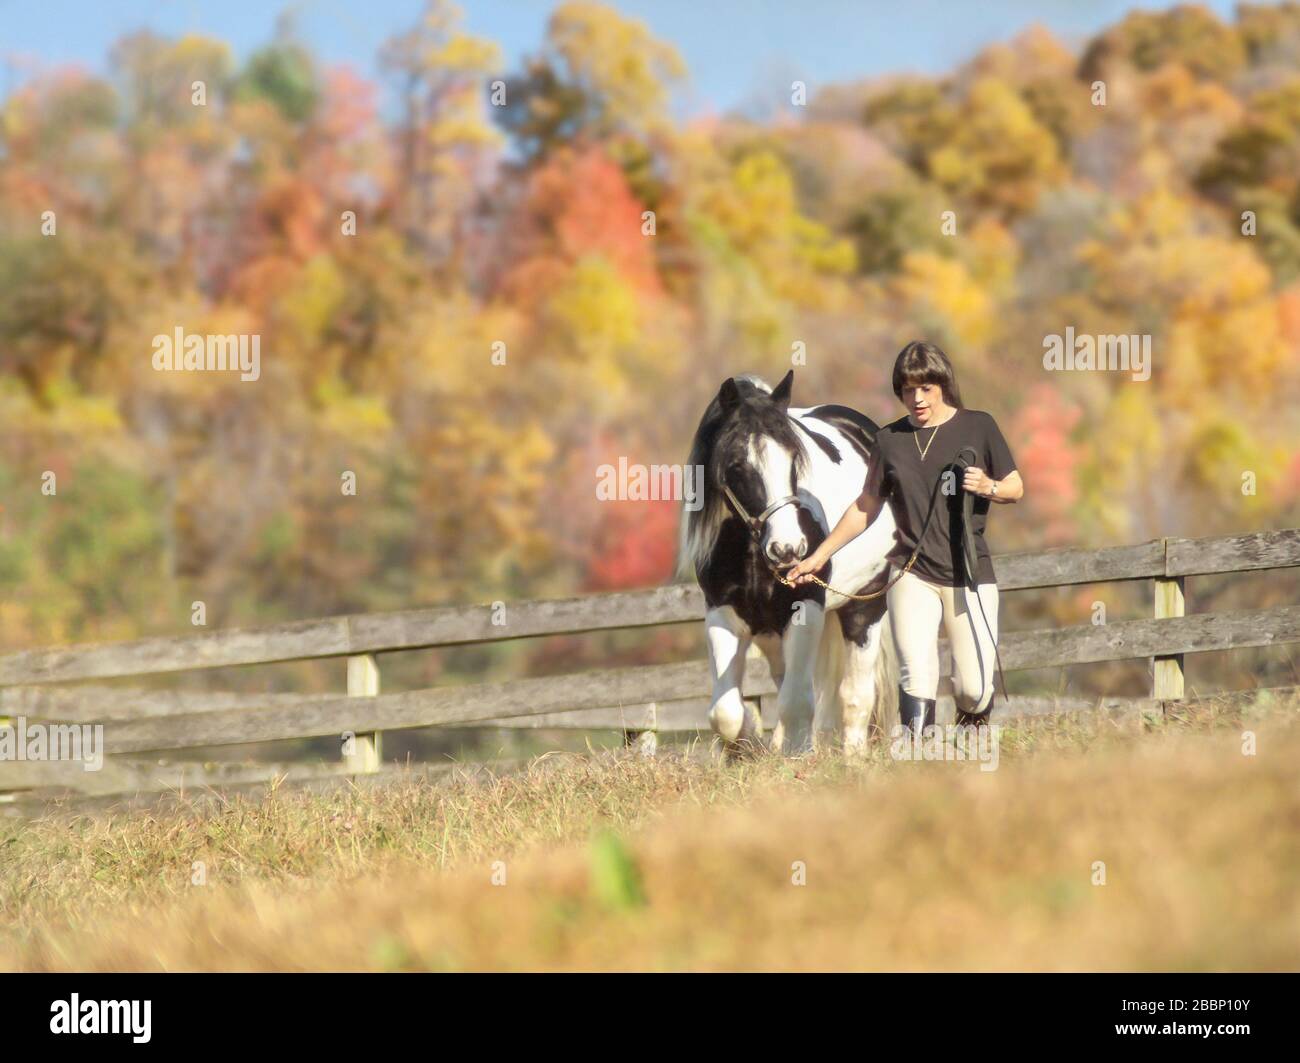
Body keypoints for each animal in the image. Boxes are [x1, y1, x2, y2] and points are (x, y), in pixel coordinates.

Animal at [678, 370, 899, 755]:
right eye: (737, 465)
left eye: (795, 460)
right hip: (771, 630)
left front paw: (797, 756)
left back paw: (853, 757)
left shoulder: (805, 607)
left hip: (864, 607)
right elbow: (726, 712)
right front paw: (748, 748)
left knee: (854, 695)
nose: (788, 550)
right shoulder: (723, 612)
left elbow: (797, 702)